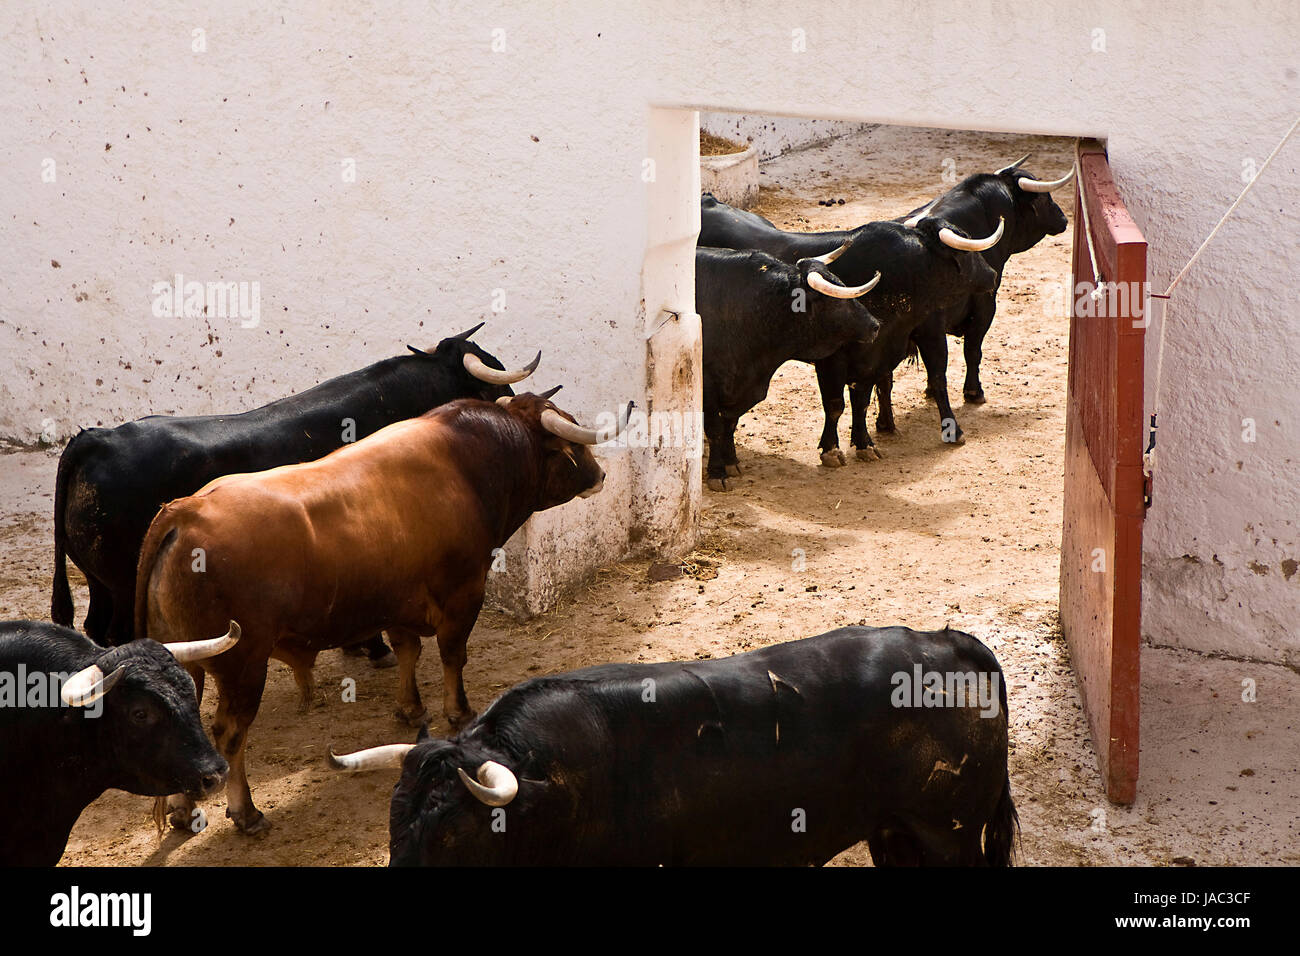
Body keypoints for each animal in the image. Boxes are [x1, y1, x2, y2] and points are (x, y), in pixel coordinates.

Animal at [51, 322, 538, 656]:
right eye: (490, 377)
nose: (515, 405)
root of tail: (95, 439)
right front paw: (373, 647)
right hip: (121, 585)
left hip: (101, 582)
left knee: (95, 628)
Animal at [134, 390, 629, 834]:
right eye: (573, 446)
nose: (602, 473)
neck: (468, 464)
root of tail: (185, 511)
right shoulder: (463, 593)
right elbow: (452, 655)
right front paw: (458, 710)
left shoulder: (398, 605)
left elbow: (408, 651)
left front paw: (410, 708)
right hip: (243, 666)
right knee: (230, 735)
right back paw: (246, 812)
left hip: (187, 661)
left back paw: (182, 810)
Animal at [696, 246, 881, 490]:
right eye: (836, 301)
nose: (875, 326)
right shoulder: (708, 386)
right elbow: (715, 429)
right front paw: (717, 473)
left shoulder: (745, 388)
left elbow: (730, 423)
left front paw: (731, 462)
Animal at [699, 193, 1001, 459]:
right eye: (966, 252)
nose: (992, 274)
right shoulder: (832, 360)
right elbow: (836, 404)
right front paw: (831, 450)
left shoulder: (875, 356)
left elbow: (862, 400)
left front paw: (864, 442)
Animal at [872, 155, 1074, 431]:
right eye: (1044, 198)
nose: (1064, 219)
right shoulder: (985, 304)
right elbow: (972, 350)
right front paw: (974, 392)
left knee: (882, 377)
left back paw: (884, 424)